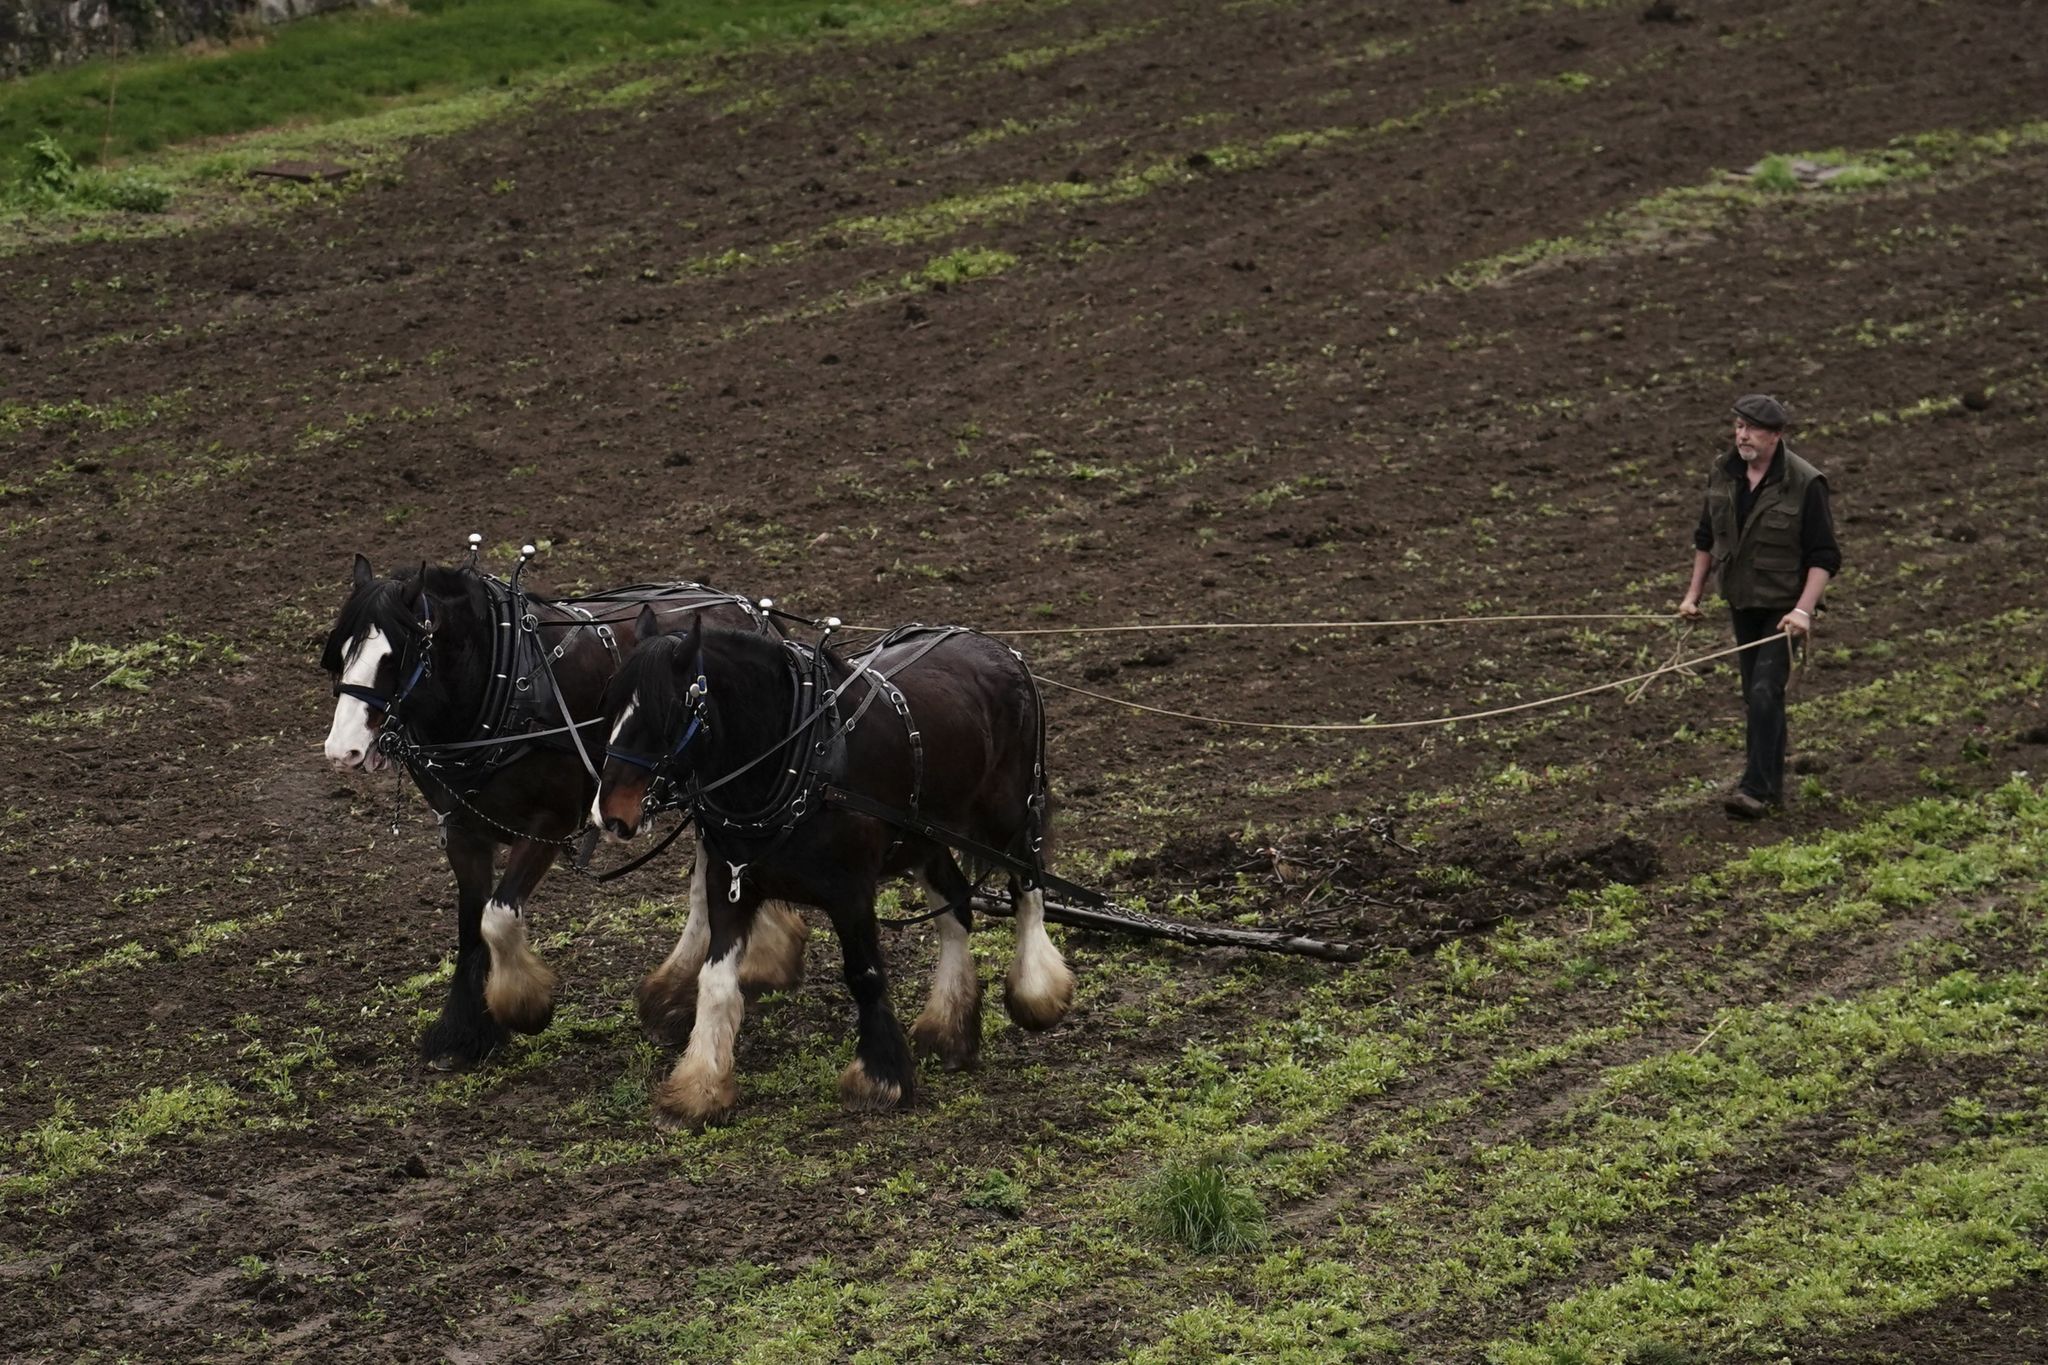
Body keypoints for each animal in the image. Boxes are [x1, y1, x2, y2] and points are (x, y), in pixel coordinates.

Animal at [319, 555, 810, 1070]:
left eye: (394, 657)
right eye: (341, 653)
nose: (341, 750)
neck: (505, 688)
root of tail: (753, 612)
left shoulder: (547, 825)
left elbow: (498, 917)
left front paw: (523, 1006)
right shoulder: (462, 830)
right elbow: (471, 925)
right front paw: (461, 1034)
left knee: (702, 890)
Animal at [589, 605, 1076, 1131]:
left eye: (670, 713)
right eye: (609, 706)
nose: (610, 815)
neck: (798, 757)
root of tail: (996, 647)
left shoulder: (851, 891)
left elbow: (865, 975)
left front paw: (880, 1079)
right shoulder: (730, 880)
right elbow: (716, 983)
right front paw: (698, 1089)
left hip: (1012, 812)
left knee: (1028, 888)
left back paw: (1037, 992)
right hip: (925, 836)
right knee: (956, 909)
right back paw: (948, 1029)